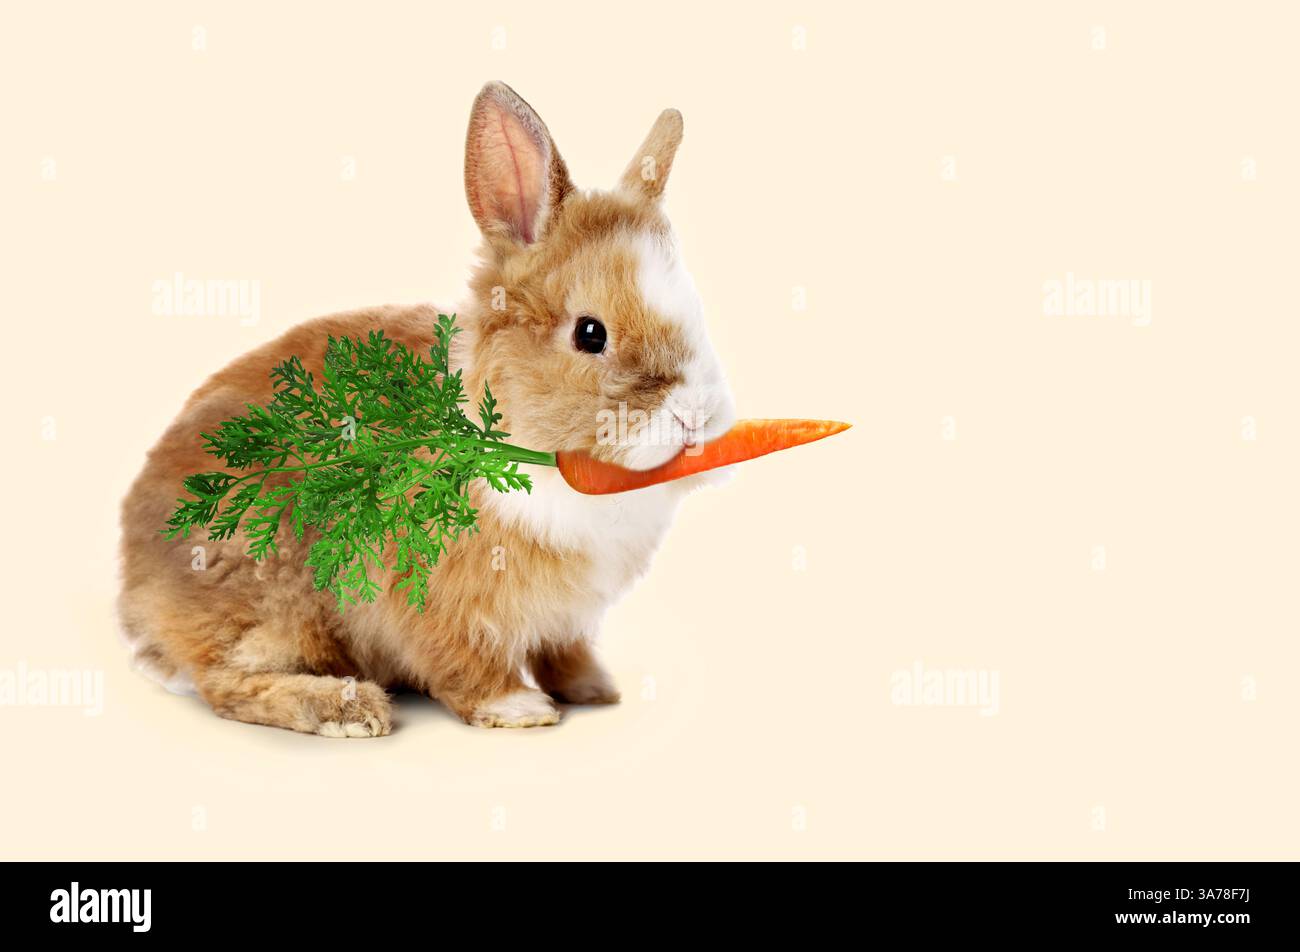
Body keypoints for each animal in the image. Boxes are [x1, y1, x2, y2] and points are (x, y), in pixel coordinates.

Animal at [118, 81, 736, 735]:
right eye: (590, 334)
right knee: (227, 685)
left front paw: (593, 688)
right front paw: (518, 709)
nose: (695, 416)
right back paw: (348, 708)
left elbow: (563, 650)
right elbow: (464, 661)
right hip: (267, 599)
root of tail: (136, 589)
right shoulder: (432, 597)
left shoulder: (564, 618)